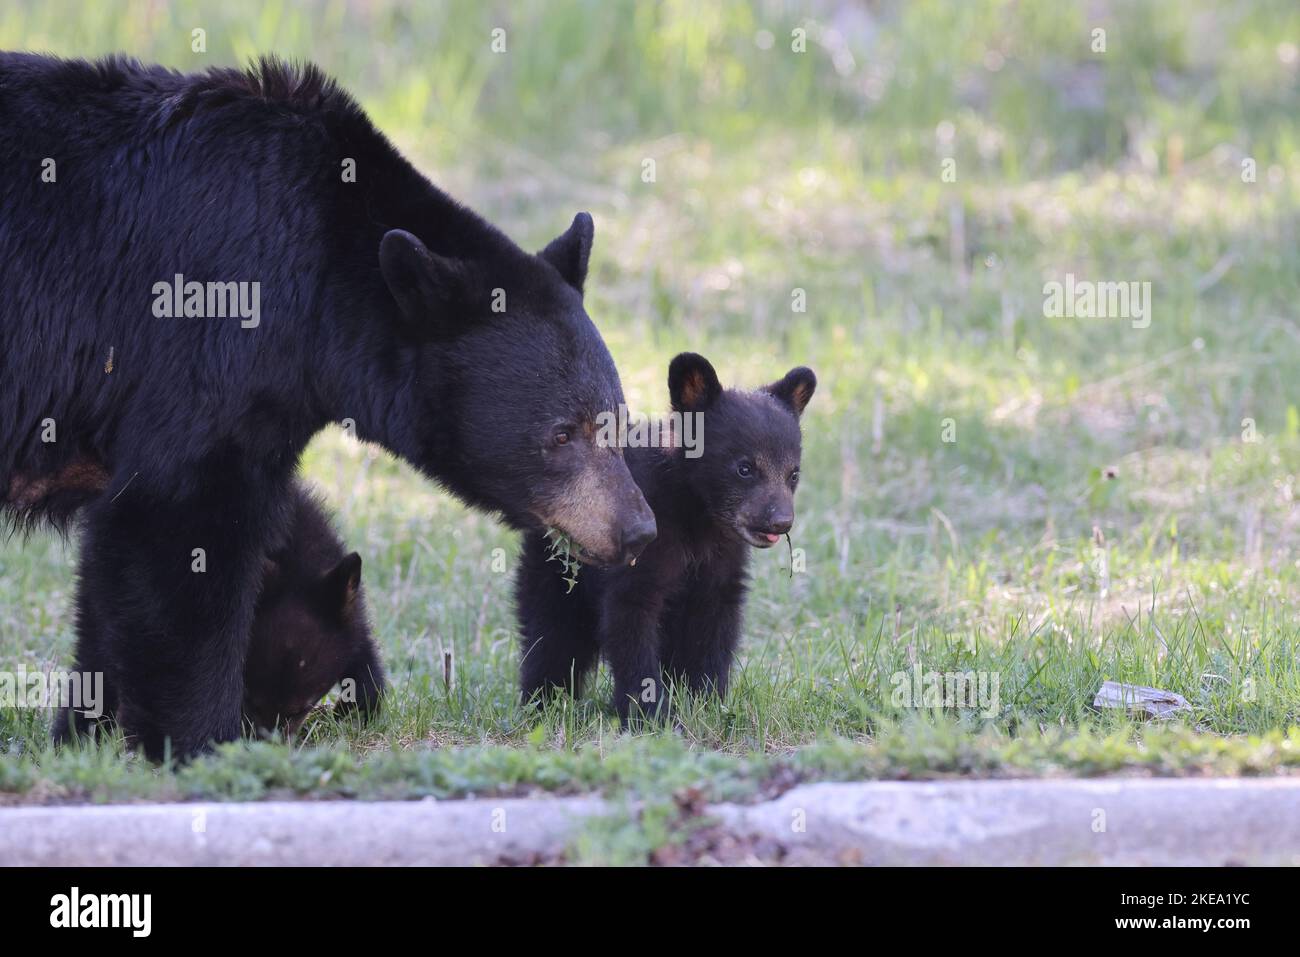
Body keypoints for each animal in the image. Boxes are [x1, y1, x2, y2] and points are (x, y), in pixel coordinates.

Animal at [514, 352, 815, 725]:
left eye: (793, 474)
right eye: (745, 468)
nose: (780, 521)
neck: (698, 517)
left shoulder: (721, 563)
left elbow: (716, 623)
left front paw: (708, 700)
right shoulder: (642, 543)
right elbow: (631, 614)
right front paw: (650, 713)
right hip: (557, 571)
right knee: (551, 636)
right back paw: (542, 704)